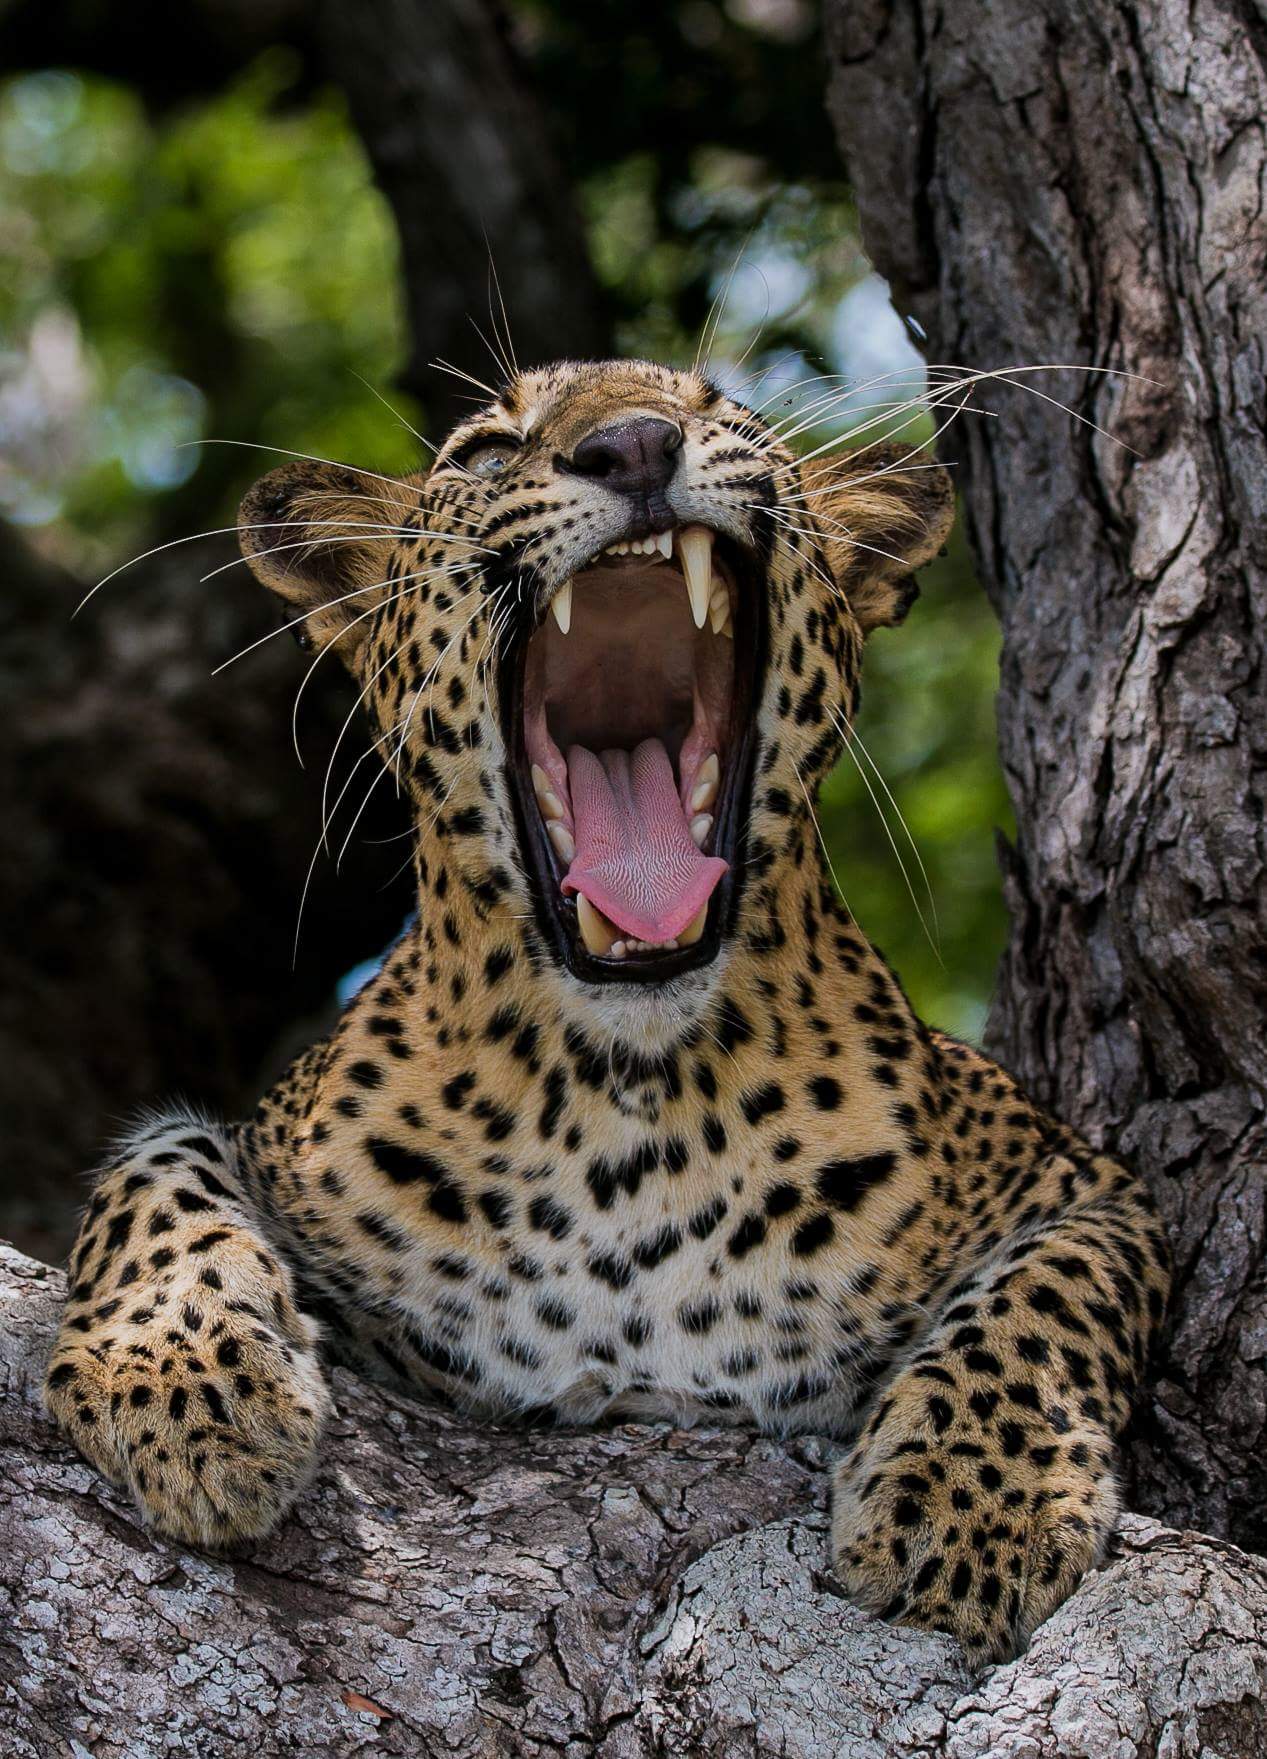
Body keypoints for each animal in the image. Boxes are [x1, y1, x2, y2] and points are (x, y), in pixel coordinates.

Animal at [44, 357, 1170, 1665]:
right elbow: (158, 1166)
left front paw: (970, 1502)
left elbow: (1039, 1302)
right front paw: (185, 1388)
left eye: (728, 415)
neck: (627, 1110)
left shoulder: (1080, 1181)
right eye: (486, 451)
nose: (633, 445)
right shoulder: (265, 1150)